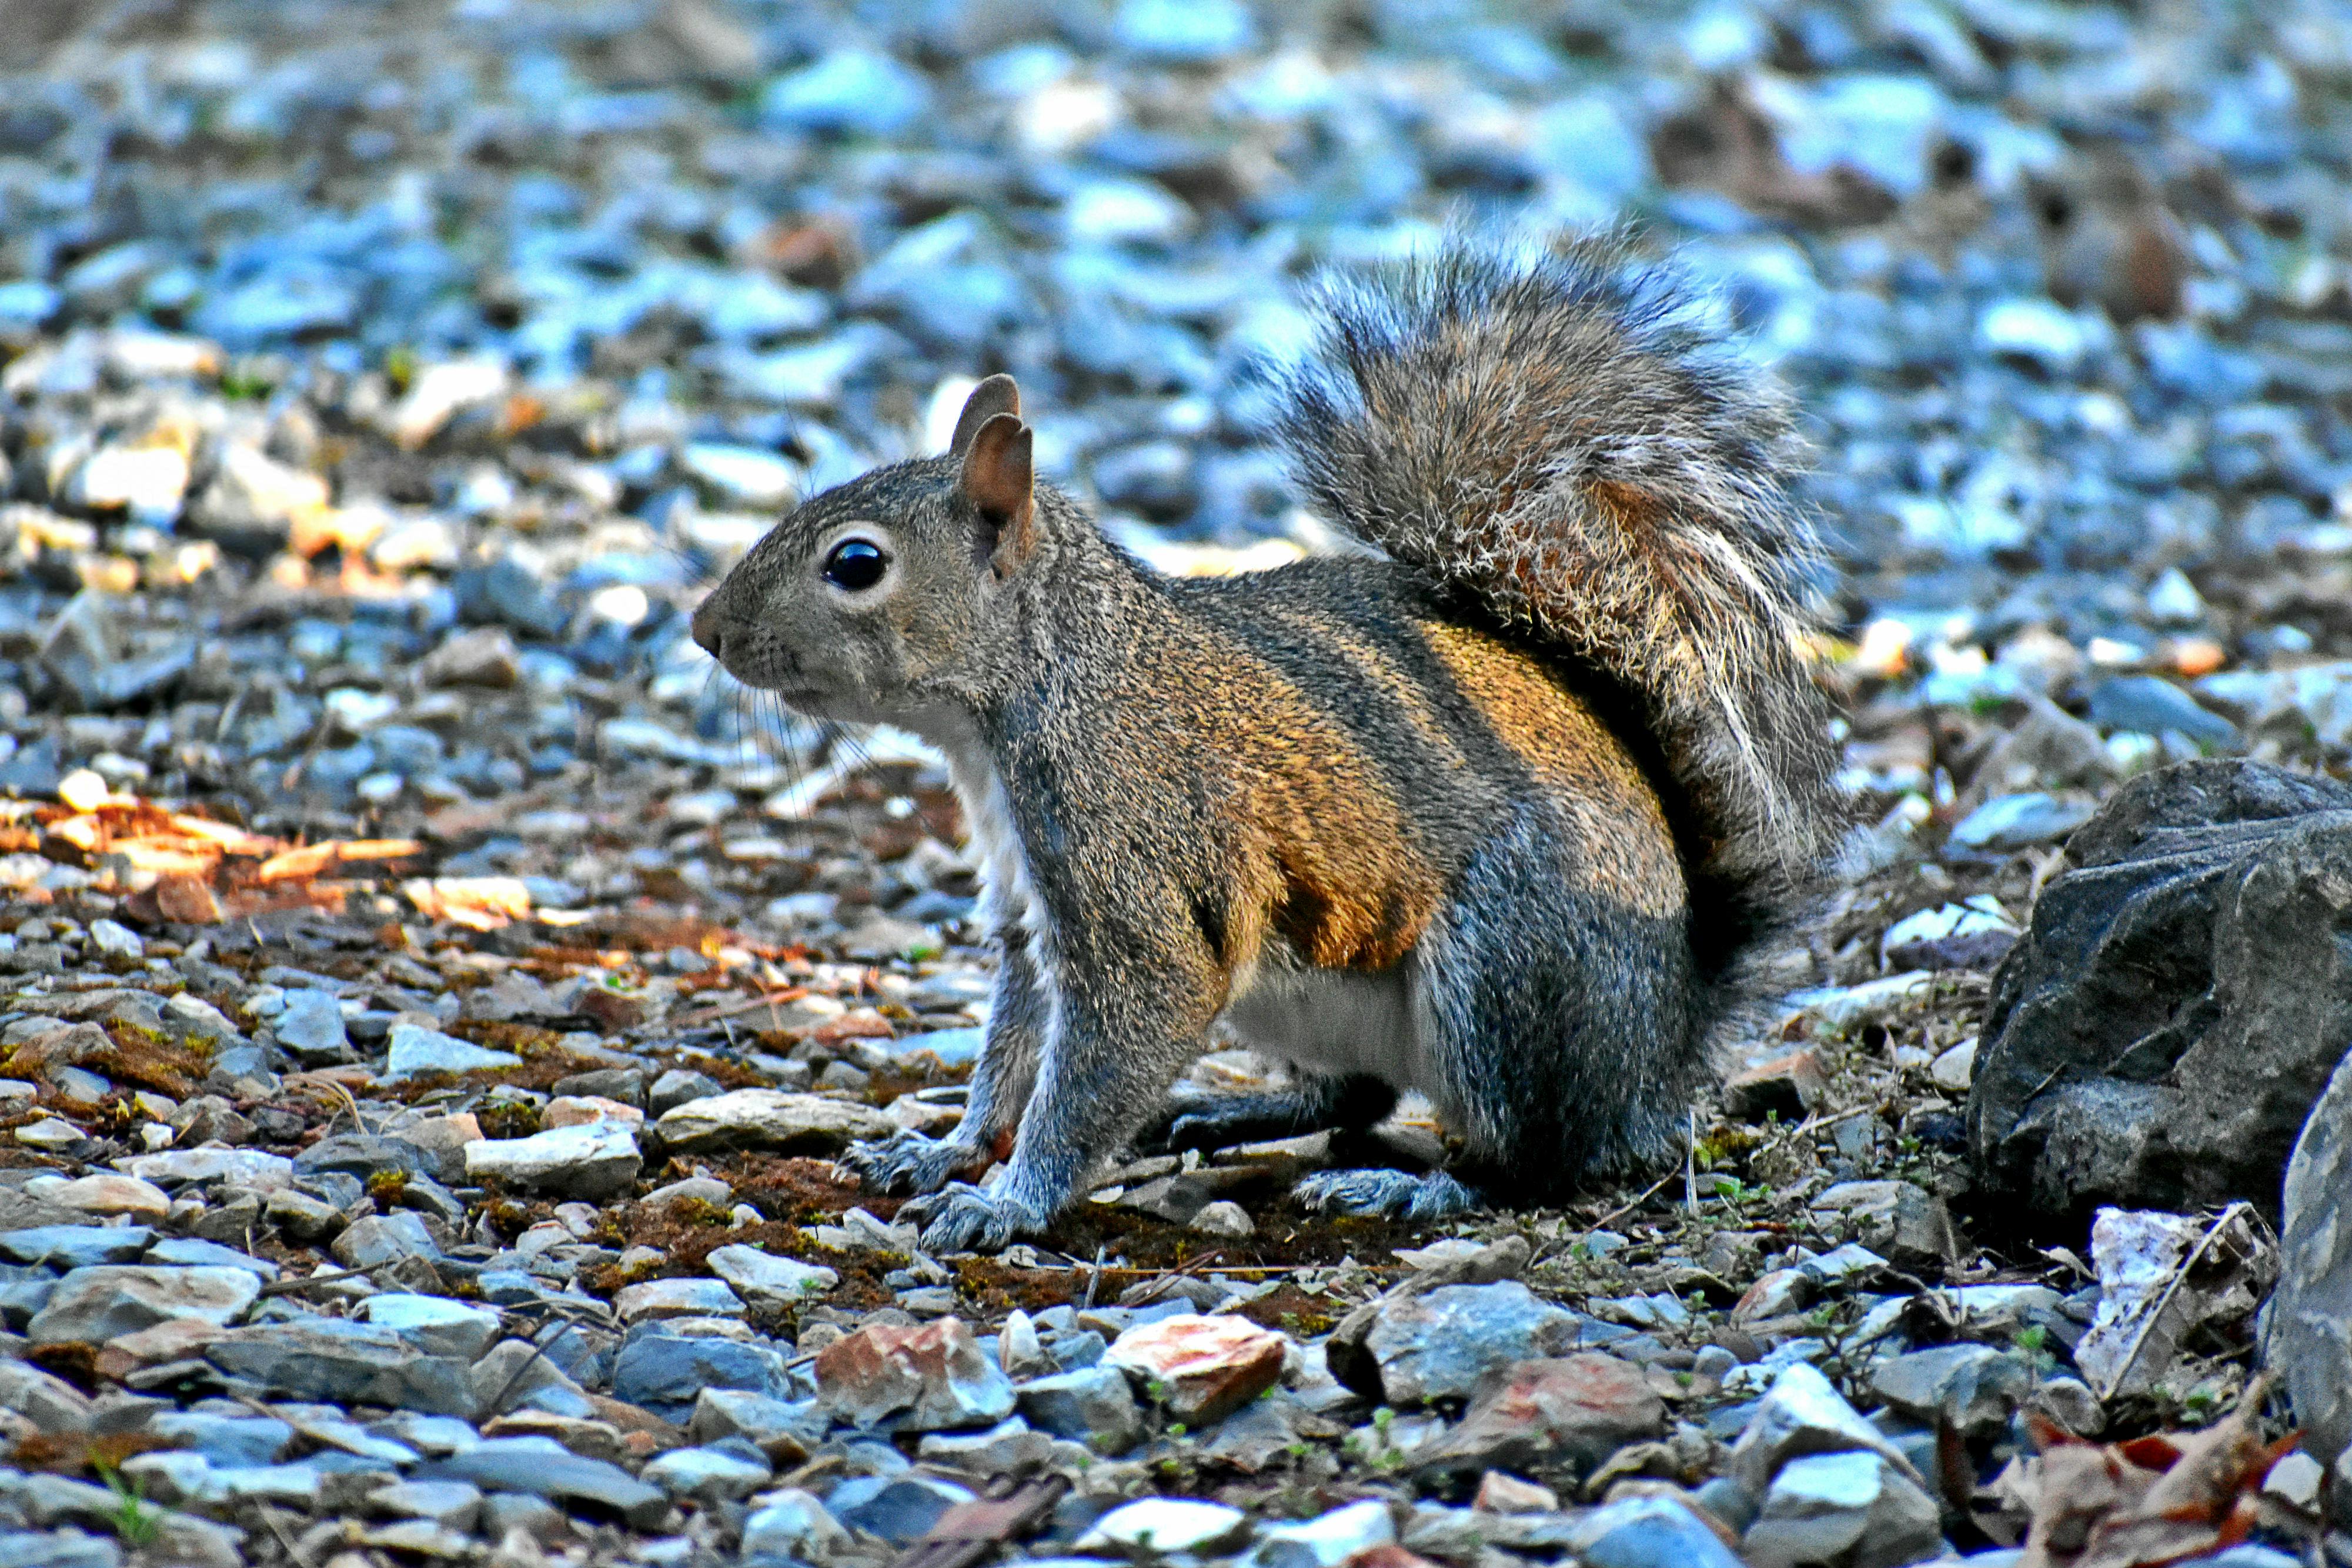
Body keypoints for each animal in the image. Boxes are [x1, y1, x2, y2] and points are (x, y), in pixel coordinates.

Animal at [689, 239, 1843, 1253]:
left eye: (856, 564)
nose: (704, 630)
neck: (1038, 686)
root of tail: (1670, 1036)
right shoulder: (1028, 904)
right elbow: (1013, 1042)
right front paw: (948, 1149)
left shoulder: (1127, 853)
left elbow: (1117, 1033)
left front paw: (1009, 1202)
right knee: (1363, 1091)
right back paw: (1232, 1116)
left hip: (1510, 973)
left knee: (1540, 1158)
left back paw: (1419, 1187)